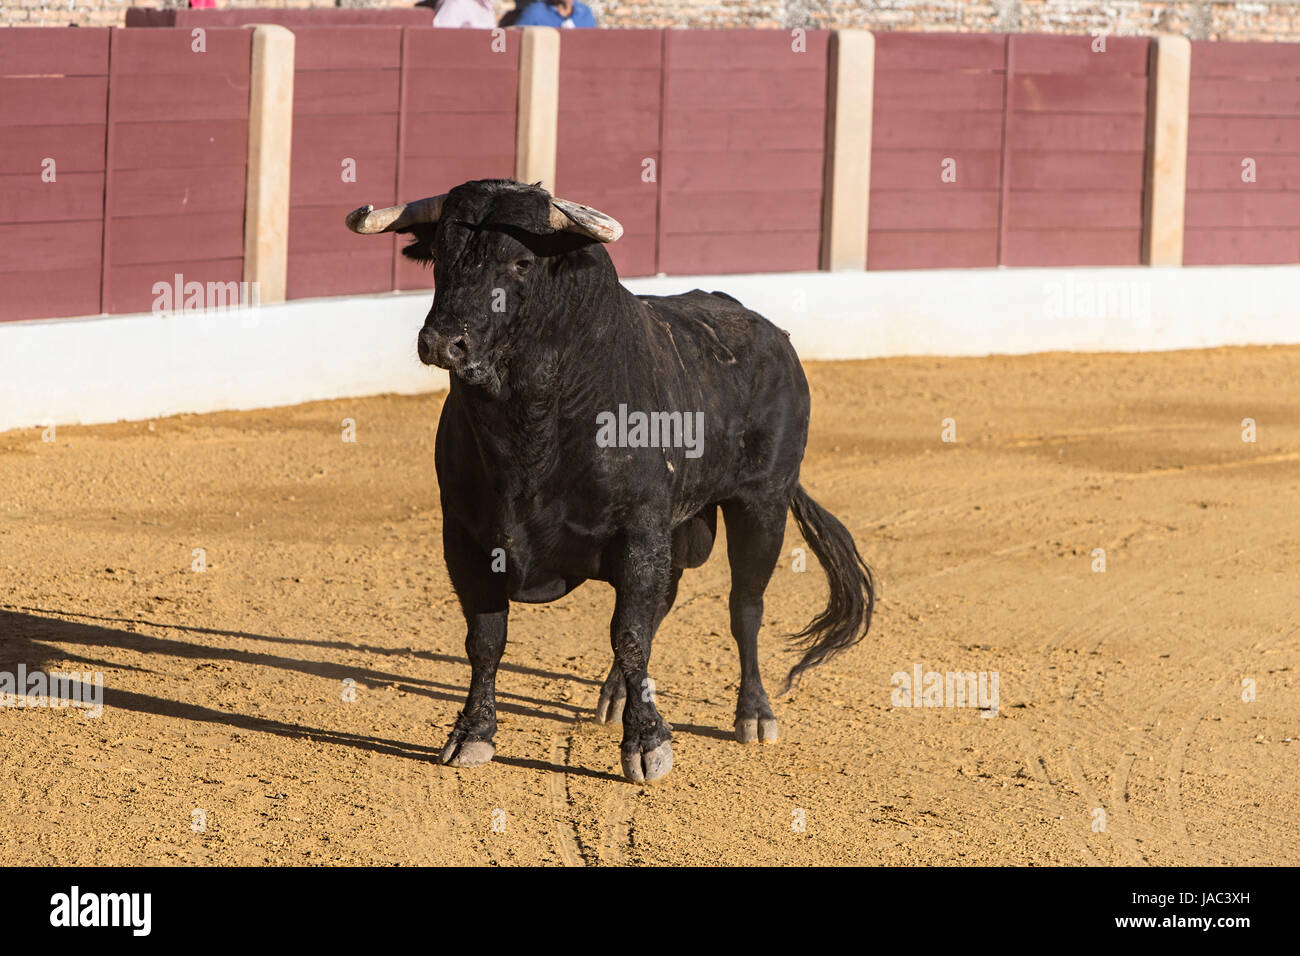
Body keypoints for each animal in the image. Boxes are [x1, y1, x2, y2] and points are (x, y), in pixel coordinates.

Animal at [345, 179, 875, 783]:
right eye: (440, 256)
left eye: (521, 262)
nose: (442, 342)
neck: (528, 430)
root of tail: (774, 337)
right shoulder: (466, 537)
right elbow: (486, 638)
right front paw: (472, 734)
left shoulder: (640, 531)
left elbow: (630, 632)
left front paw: (647, 745)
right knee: (666, 602)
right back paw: (617, 696)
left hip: (761, 505)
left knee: (744, 608)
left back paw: (754, 714)